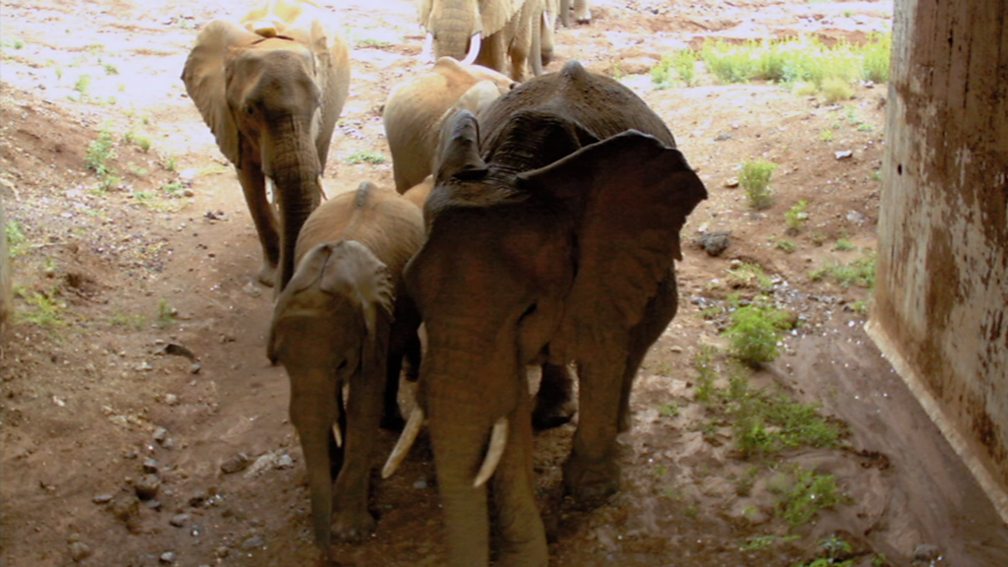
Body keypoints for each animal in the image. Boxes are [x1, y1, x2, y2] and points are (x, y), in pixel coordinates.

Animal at [268, 181, 425, 557]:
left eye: (340, 362)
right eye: (281, 363)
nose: (325, 555)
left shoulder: (375, 317)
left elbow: (361, 400)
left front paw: (351, 532)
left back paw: (391, 423)